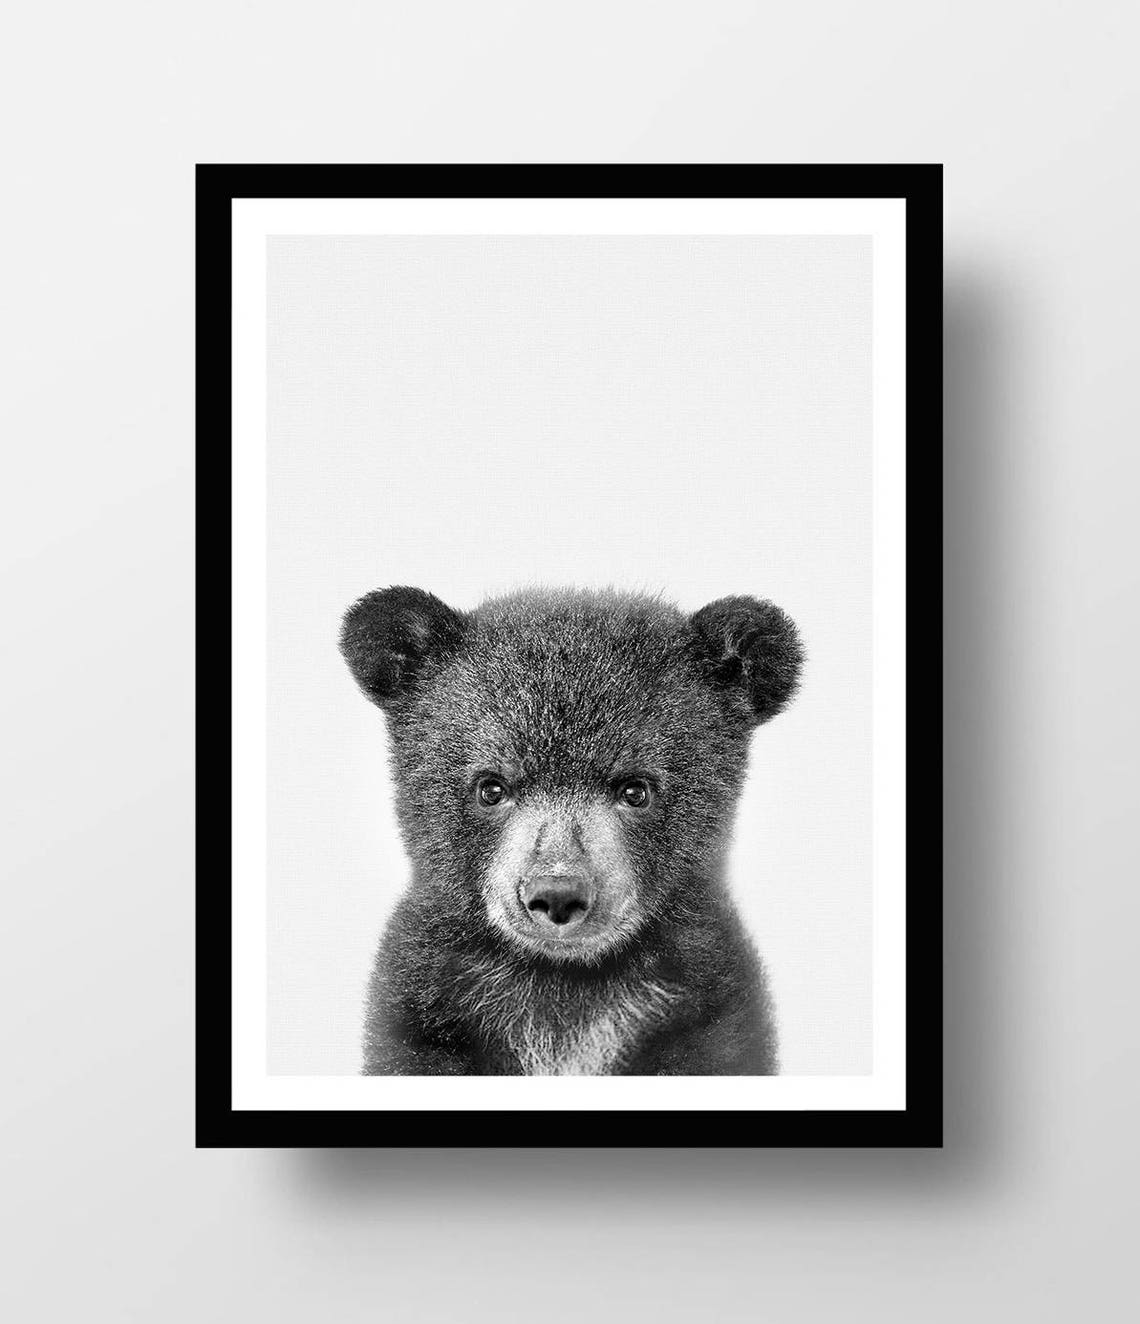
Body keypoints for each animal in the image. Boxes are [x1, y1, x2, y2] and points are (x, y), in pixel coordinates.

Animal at [339, 585, 803, 1076]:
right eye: (491, 787)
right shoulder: (423, 1015)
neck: (565, 981)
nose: (557, 894)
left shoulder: (709, 1013)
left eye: (635, 790)